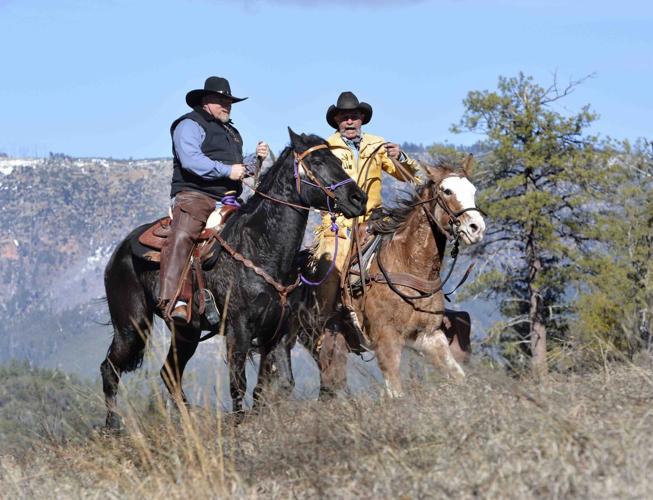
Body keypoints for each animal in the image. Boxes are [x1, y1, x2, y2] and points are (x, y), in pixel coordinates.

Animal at [100, 129, 367, 428]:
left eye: (337, 159)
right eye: (318, 162)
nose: (358, 198)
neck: (260, 246)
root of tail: (118, 253)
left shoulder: (278, 331)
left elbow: (276, 384)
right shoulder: (239, 329)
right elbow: (238, 384)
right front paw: (240, 425)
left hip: (186, 332)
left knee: (169, 373)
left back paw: (190, 422)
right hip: (131, 327)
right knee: (110, 368)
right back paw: (113, 426)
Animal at [270, 157, 485, 398]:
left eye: (473, 190)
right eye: (447, 191)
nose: (477, 228)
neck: (408, 264)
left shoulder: (429, 336)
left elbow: (459, 378)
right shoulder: (386, 340)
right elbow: (396, 394)